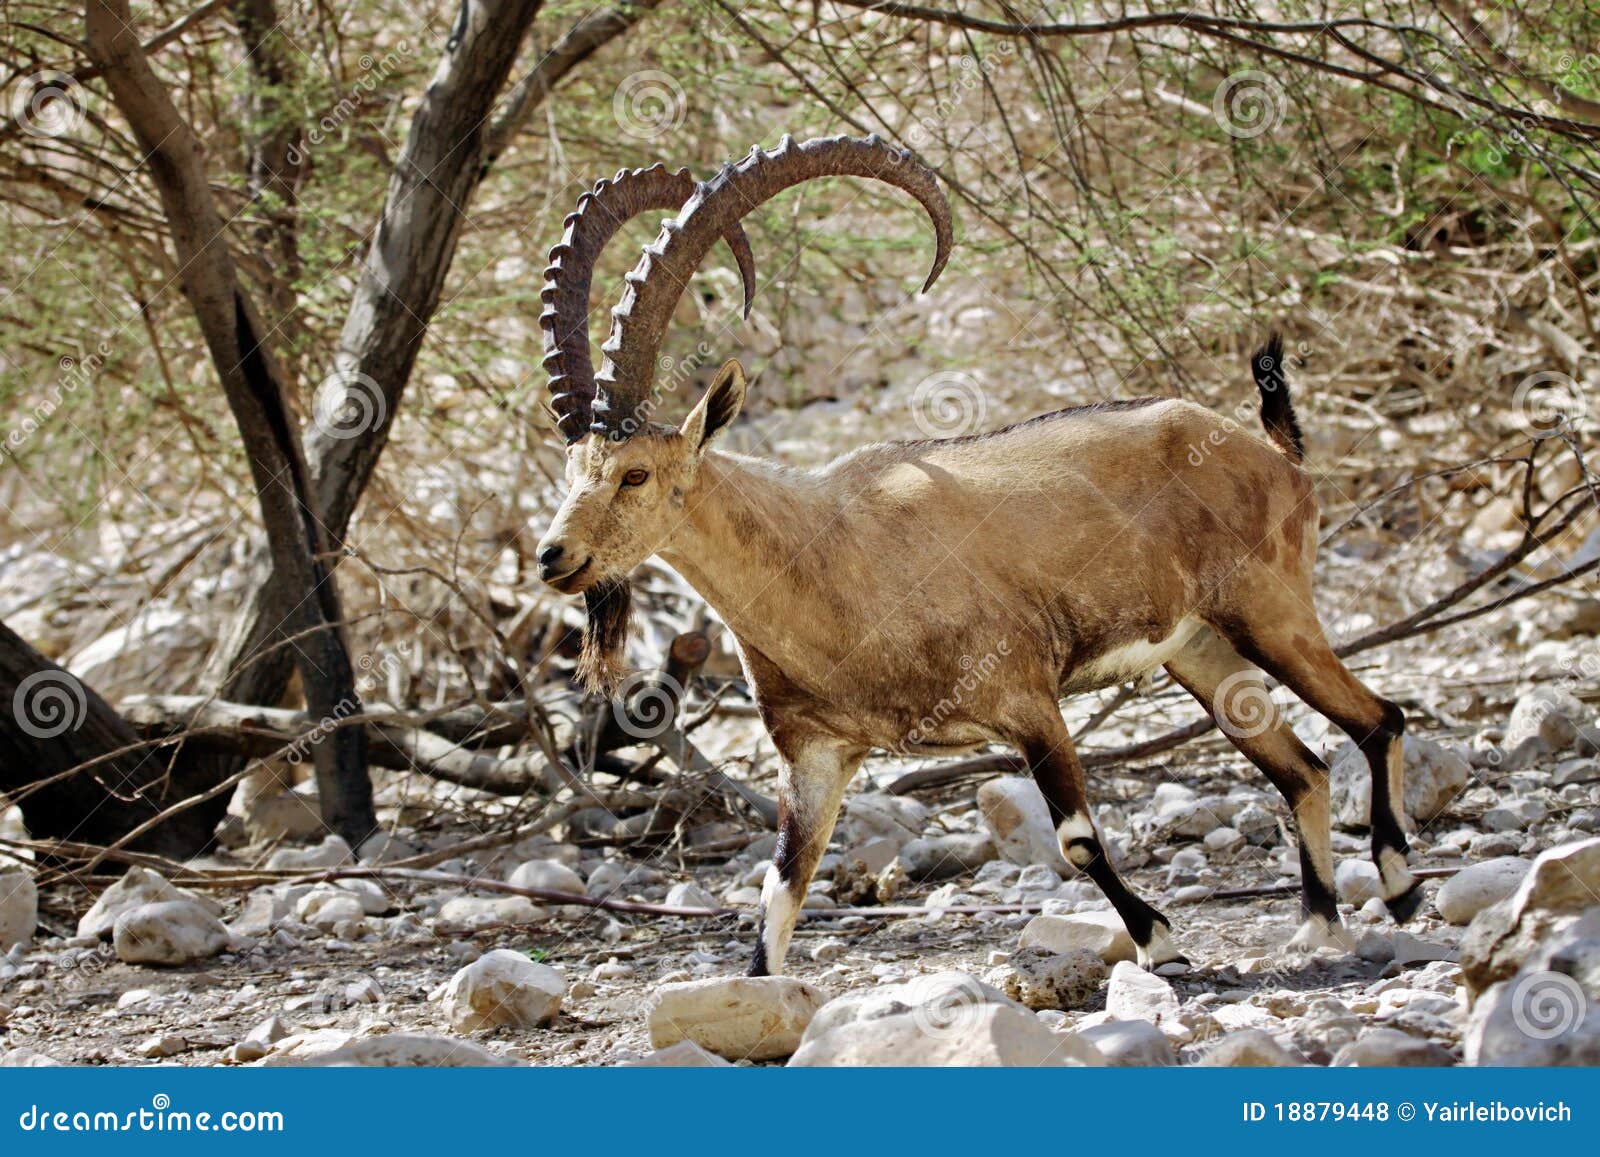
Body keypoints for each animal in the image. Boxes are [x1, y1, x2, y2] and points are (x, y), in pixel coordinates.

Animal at [534, 135, 1420, 975]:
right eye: (570, 469)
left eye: (635, 473)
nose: (553, 556)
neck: (824, 564)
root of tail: (1274, 453)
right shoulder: (815, 756)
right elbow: (782, 890)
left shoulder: (1028, 699)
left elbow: (1077, 839)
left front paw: (1160, 941)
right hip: (1202, 651)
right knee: (1302, 766)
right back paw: (1319, 922)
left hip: (1272, 611)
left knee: (1378, 718)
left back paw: (1401, 885)